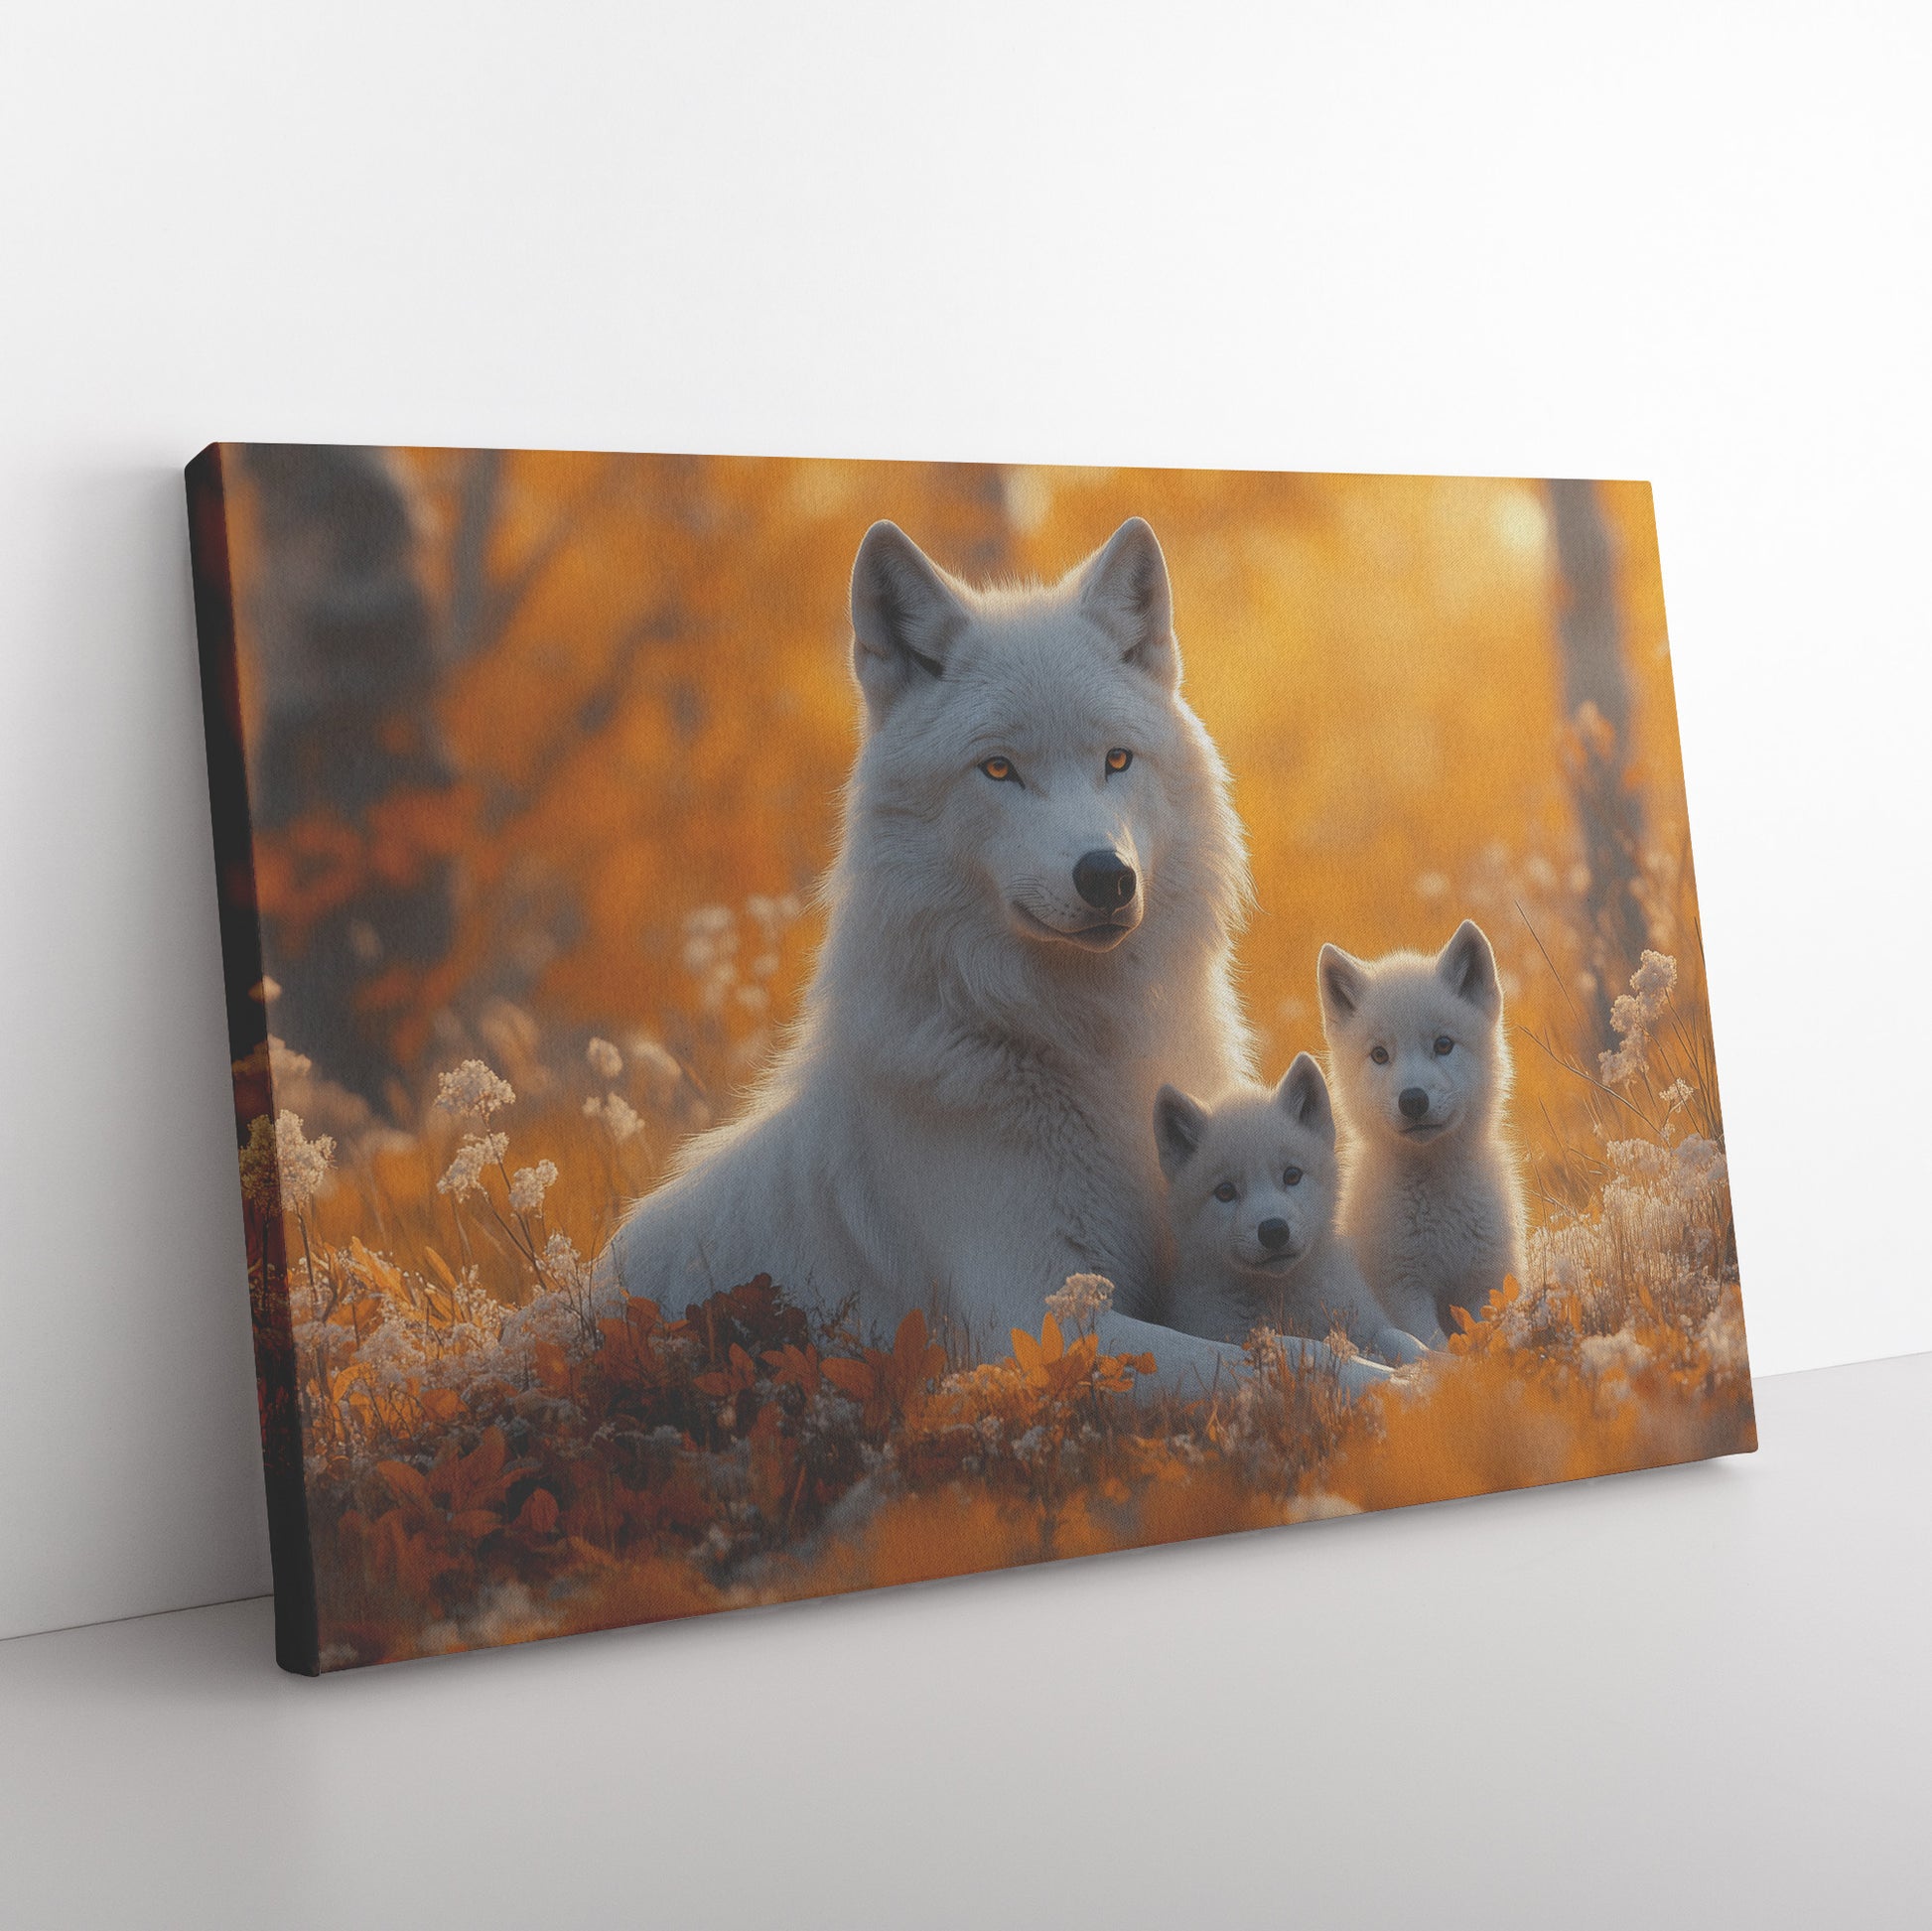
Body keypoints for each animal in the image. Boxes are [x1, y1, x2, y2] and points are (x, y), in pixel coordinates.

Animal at [607, 516, 1388, 1396]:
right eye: (999, 768)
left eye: (1117, 759)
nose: (1106, 875)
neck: (1087, 1044)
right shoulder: (1033, 1317)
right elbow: (1290, 1357)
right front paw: (1422, 1392)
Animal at [1316, 920, 1526, 1345]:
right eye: (1380, 1055)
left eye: (1443, 1045)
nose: (1413, 1100)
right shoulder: (1402, 1288)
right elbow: (1437, 1347)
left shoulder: (1485, 1281)